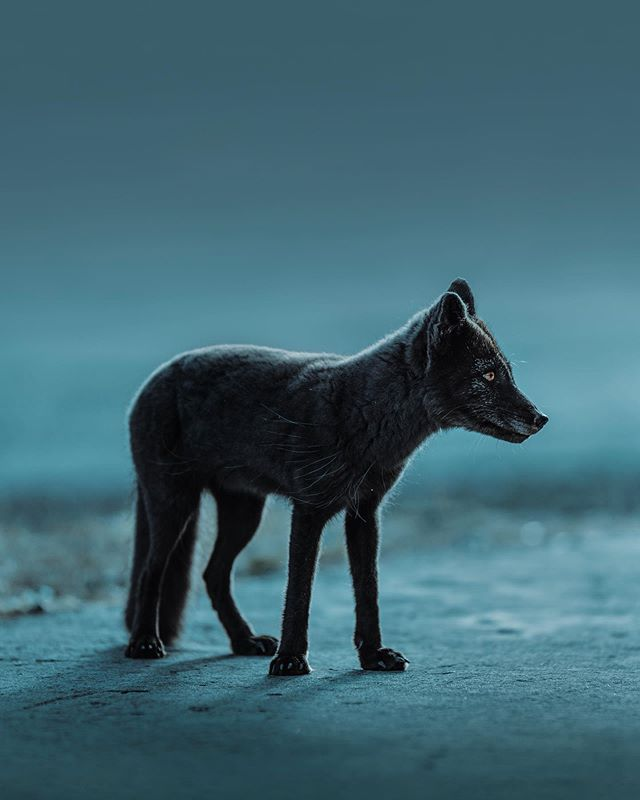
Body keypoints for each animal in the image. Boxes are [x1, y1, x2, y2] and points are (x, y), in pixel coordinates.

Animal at [125, 279, 548, 675]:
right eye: (488, 375)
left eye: (508, 373)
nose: (541, 419)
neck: (366, 417)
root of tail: (154, 379)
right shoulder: (309, 509)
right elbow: (299, 591)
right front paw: (291, 660)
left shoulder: (364, 512)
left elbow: (368, 590)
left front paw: (374, 655)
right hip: (174, 505)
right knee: (151, 571)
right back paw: (144, 642)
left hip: (244, 514)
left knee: (212, 574)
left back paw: (244, 641)